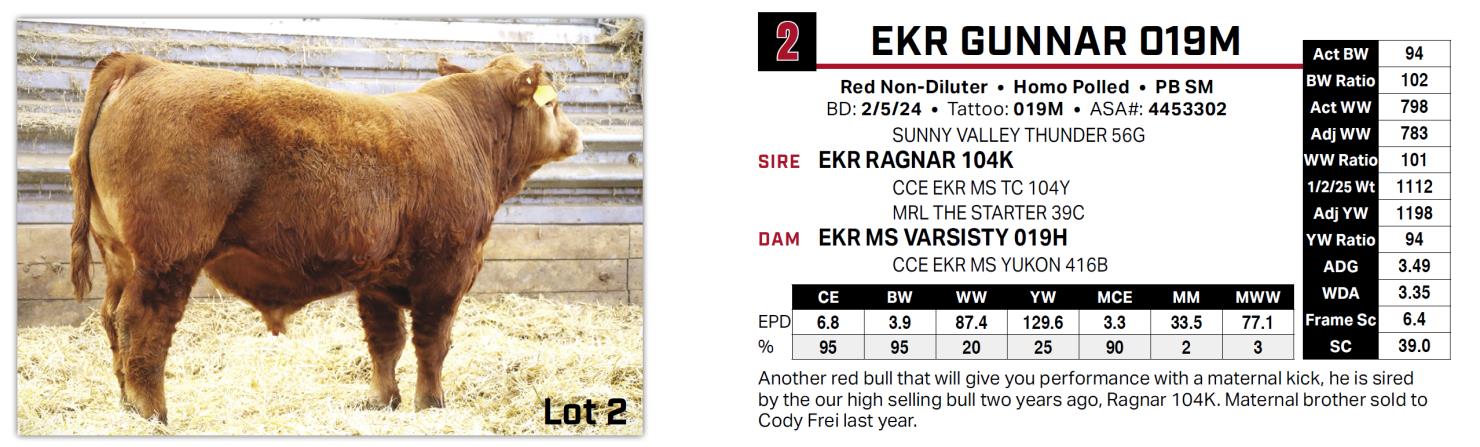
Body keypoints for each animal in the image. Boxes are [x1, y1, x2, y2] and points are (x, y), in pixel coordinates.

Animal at [67, 52, 582, 423]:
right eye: (552, 104)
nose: (577, 135)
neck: (467, 133)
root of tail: (142, 64)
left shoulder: (378, 279)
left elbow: (385, 342)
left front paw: (382, 400)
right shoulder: (447, 269)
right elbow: (432, 341)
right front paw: (431, 404)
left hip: (119, 255)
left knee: (111, 317)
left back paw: (125, 403)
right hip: (168, 258)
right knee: (142, 323)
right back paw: (152, 411)